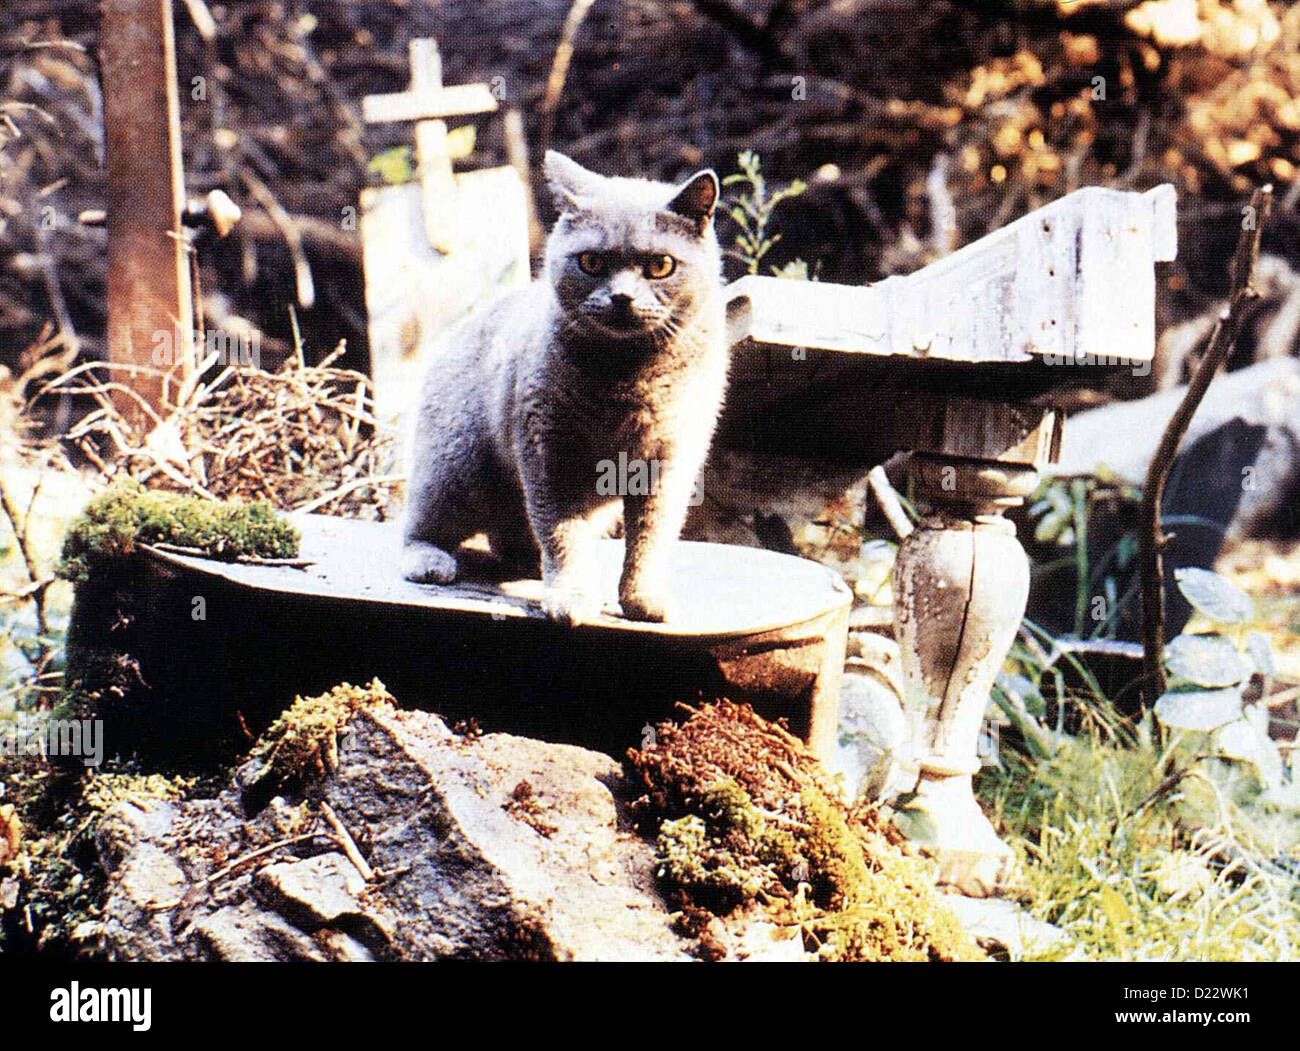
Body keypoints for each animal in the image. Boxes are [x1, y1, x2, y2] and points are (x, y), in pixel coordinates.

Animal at [400, 148, 733, 624]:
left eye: (660, 266)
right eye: (591, 262)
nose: (622, 297)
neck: (627, 380)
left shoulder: (669, 460)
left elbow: (650, 536)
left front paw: (642, 598)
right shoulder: (548, 449)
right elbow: (561, 532)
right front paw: (571, 597)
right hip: (455, 465)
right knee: (419, 523)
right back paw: (431, 561)